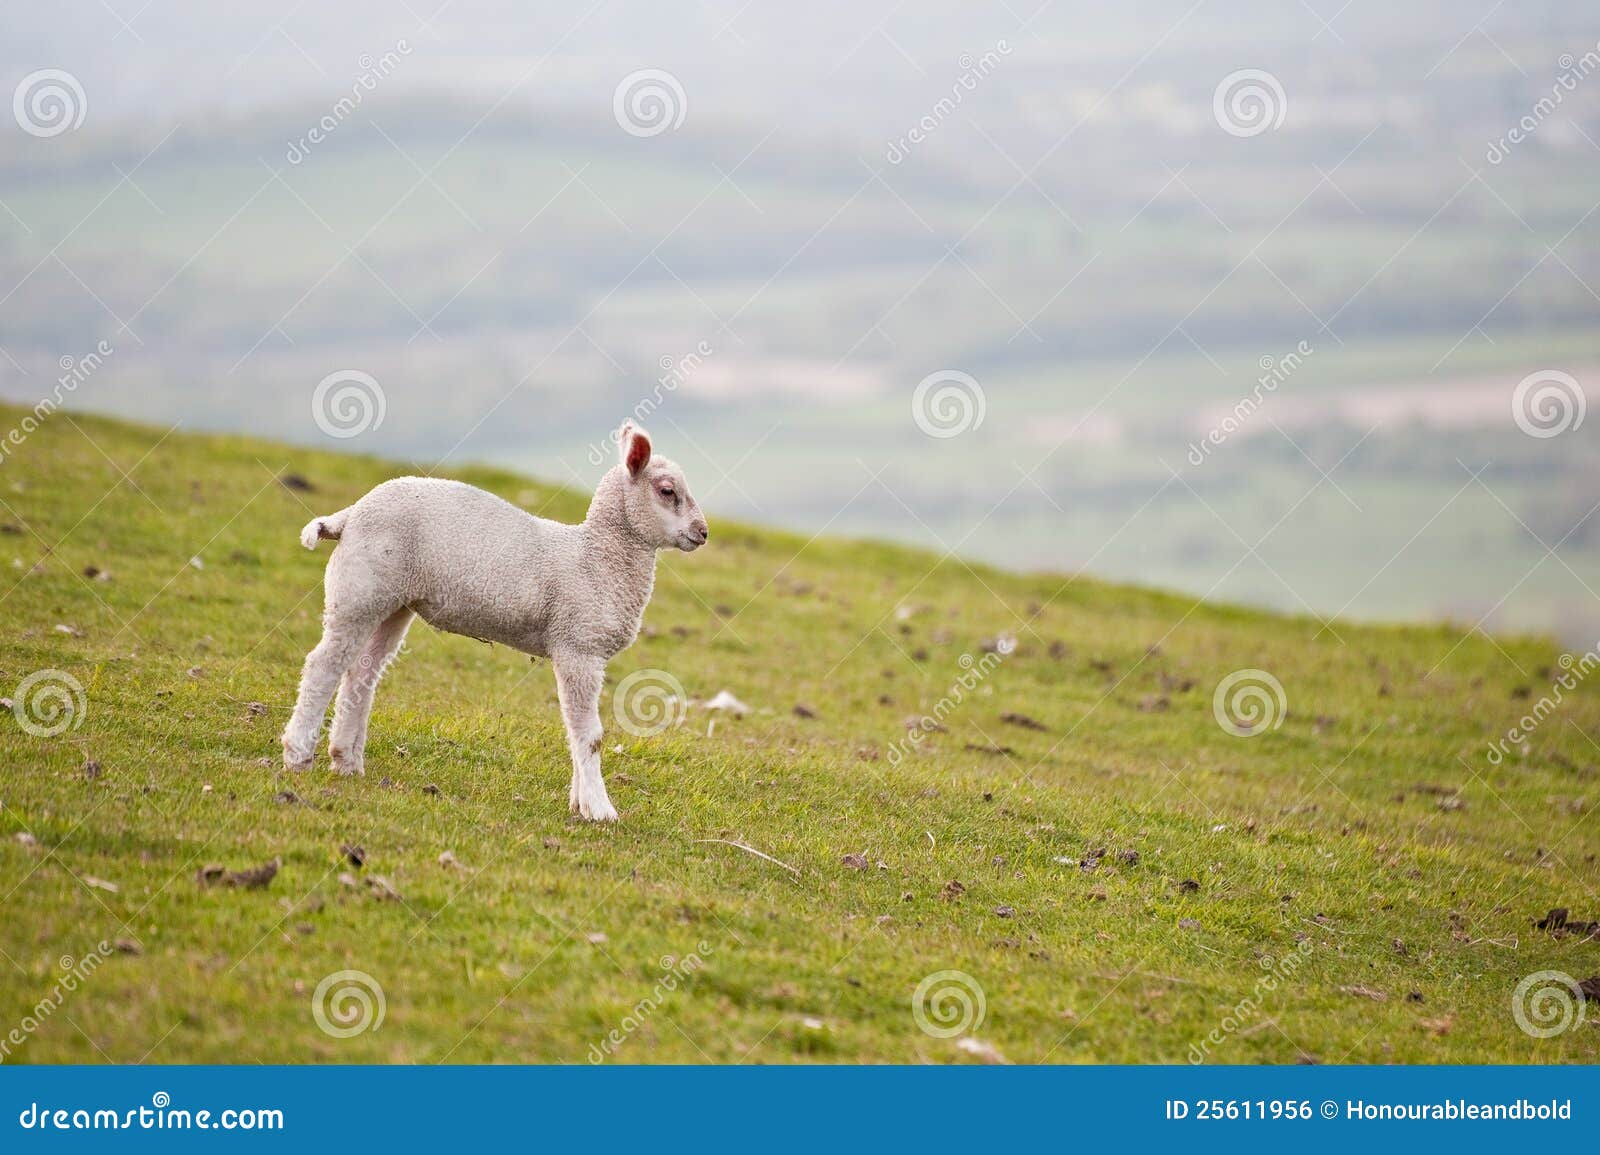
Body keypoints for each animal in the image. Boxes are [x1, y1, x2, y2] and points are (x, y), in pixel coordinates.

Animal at [280, 421, 707, 821]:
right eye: (667, 491)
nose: (702, 532)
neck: (596, 558)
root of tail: (350, 514)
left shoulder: (576, 652)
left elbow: (574, 730)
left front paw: (579, 802)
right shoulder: (578, 647)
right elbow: (590, 736)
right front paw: (600, 810)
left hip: (394, 601)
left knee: (362, 673)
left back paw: (346, 761)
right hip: (361, 589)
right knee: (324, 664)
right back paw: (298, 755)